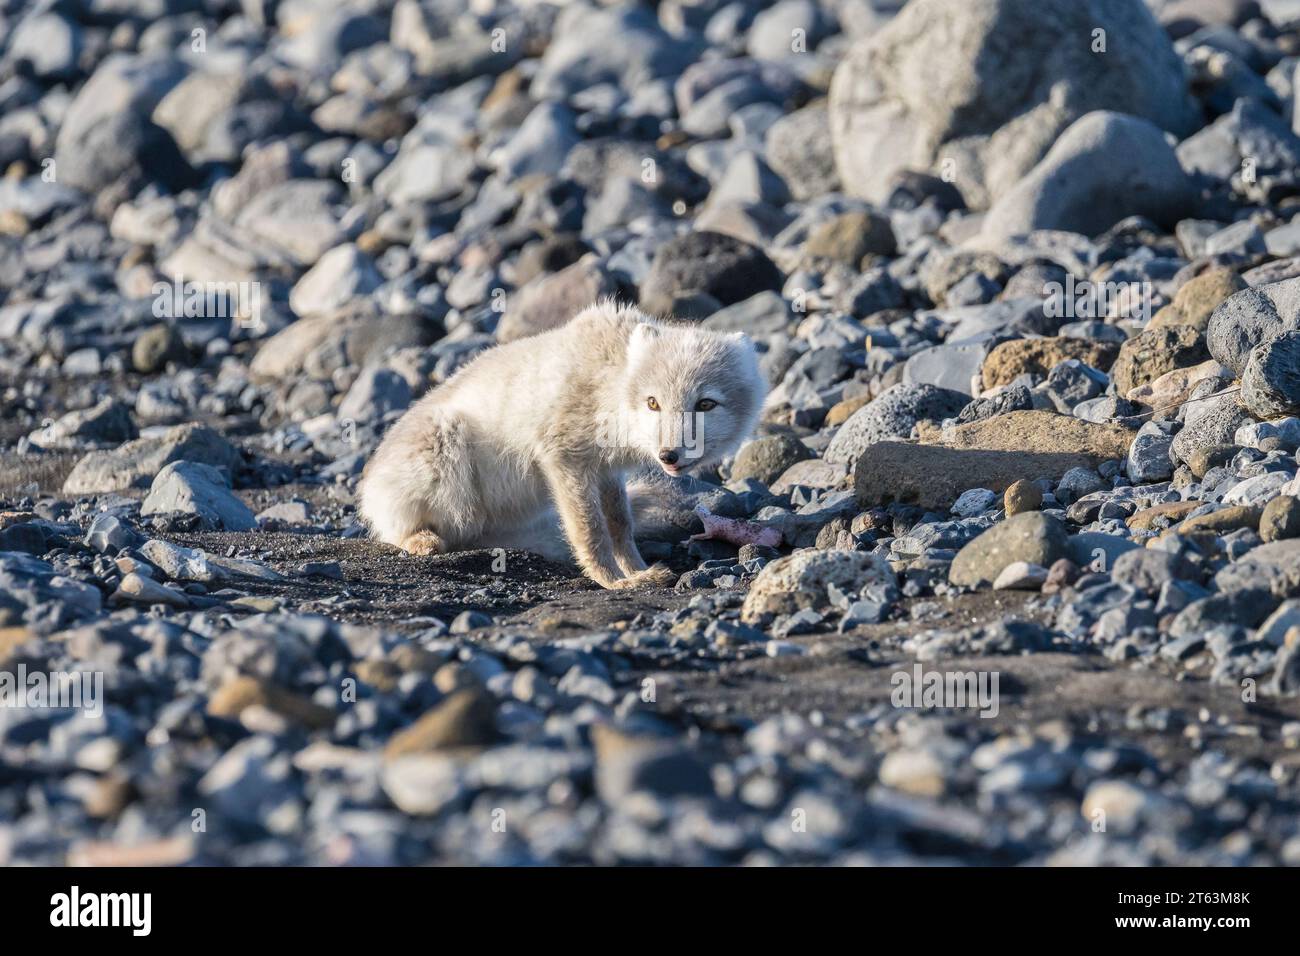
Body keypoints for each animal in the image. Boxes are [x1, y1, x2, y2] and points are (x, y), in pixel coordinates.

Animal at [357, 301, 766, 589]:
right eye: (653, 402)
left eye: (706, 404)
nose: (669, 454)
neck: (609, 384)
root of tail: (369, 488)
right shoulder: (564, 456)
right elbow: (590, 530)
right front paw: (614, 582)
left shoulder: (607, 470)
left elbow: (620, 525)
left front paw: (639, 570)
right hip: (444, 447)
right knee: (398, 530)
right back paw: (421, 540)